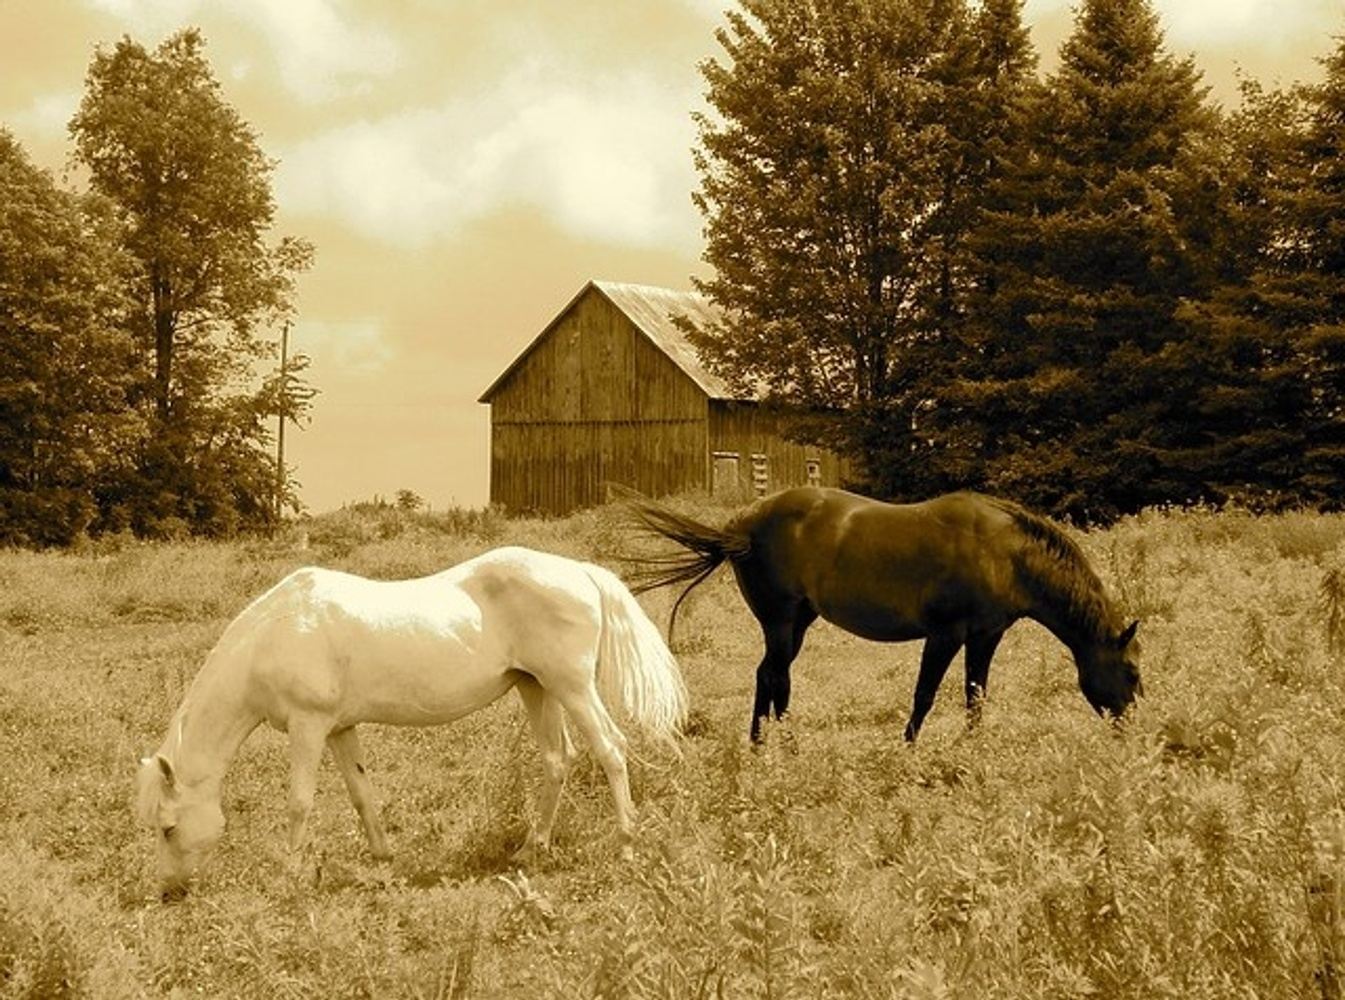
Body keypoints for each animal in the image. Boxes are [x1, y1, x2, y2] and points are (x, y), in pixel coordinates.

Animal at [134, 546, 687, 899]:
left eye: (168, 828)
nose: (168, 892)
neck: (277, 633)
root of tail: (580, 572)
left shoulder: (308, 727)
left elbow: (299, 803)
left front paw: (289, 876)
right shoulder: (340, 730)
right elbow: (362, 795)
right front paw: (384, 861)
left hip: (571, 686)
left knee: (611, 750)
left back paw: (626, 847)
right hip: (536, 688)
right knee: (557, 758)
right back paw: (531, 850)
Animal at [622, 486, 1141, 743]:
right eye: (1132, 672)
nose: (1129, 729)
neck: (1003, 552)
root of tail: (744, 524)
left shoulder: (985, 635)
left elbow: (976, 694)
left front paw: (974, 748)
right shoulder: (946, 634)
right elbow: (924, 695)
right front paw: (907, 748)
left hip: (799, 622)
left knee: (767, 676)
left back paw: (764, 743)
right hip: (782, 621)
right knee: (776, 678)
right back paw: (780, 745)